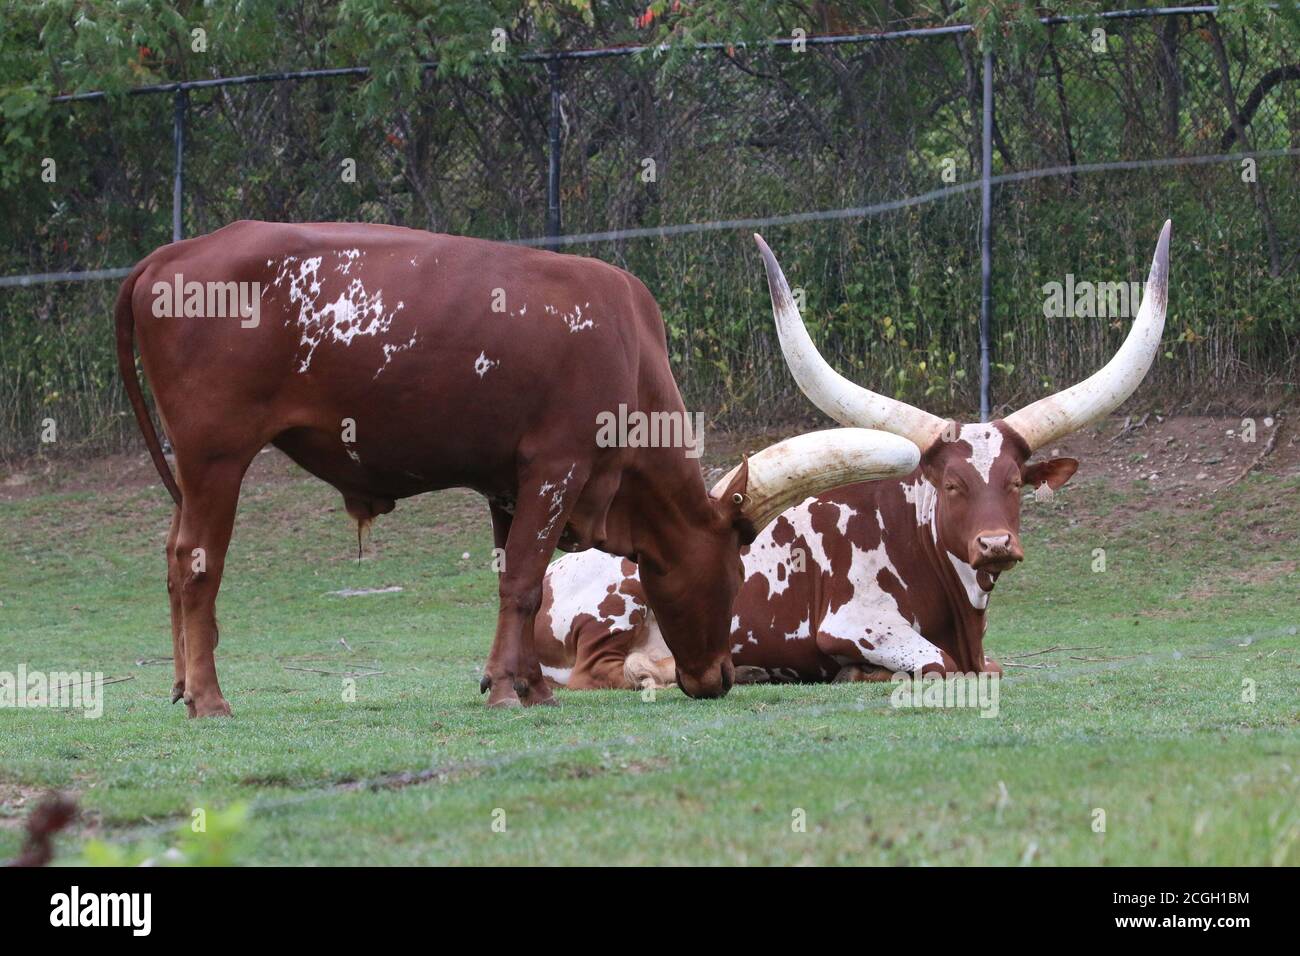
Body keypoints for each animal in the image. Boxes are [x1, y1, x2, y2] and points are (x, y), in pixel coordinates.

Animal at [115, 220, 920, 715]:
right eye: (731, 575)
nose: (721, 678)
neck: (630, 354)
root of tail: (169, 256)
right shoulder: (556, 470)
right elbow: (526, 582)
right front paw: (510, 688)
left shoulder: (509, 487)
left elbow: (517, 584)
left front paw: (528, 684)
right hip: (216, 457)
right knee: (197, 566)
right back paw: (210, 699)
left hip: (194, 469)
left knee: (172, 558)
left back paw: (183, 687)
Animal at [534, 223, 1171, 688]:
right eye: (952, 485)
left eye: (1016, 482)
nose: (995, 544)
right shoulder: (859, 624)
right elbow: (938, 663)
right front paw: (859, 673)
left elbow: (987, 665)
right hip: (625, 603)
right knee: (600, 673)